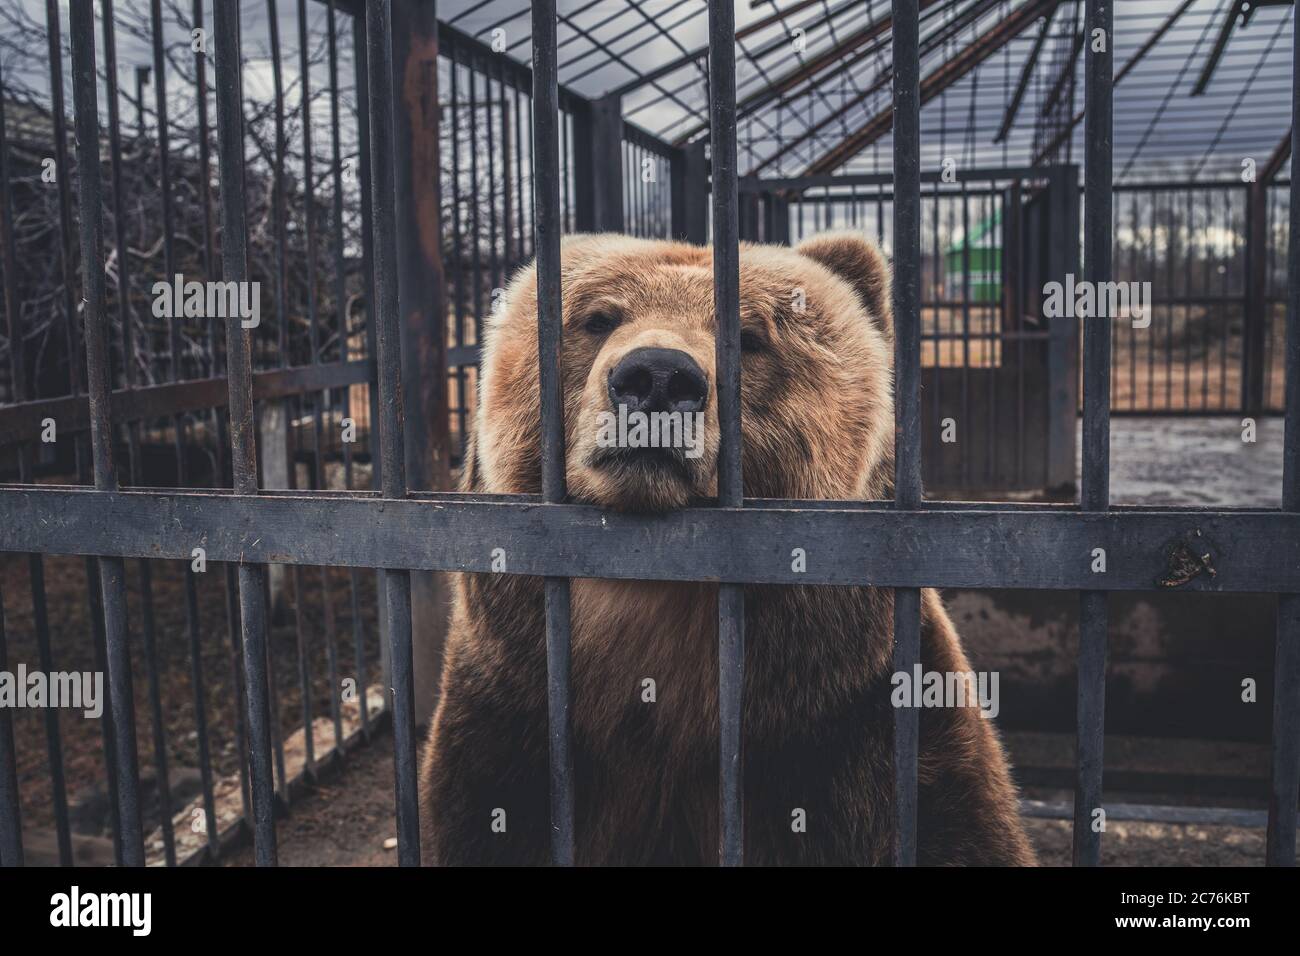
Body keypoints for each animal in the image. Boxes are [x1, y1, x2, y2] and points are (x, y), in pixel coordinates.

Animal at [418, 232, 1037, 866]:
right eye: (597, 318)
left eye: (750, 336)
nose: (657, 377)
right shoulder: (509, 722)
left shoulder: (858, 730)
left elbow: (952, 826)